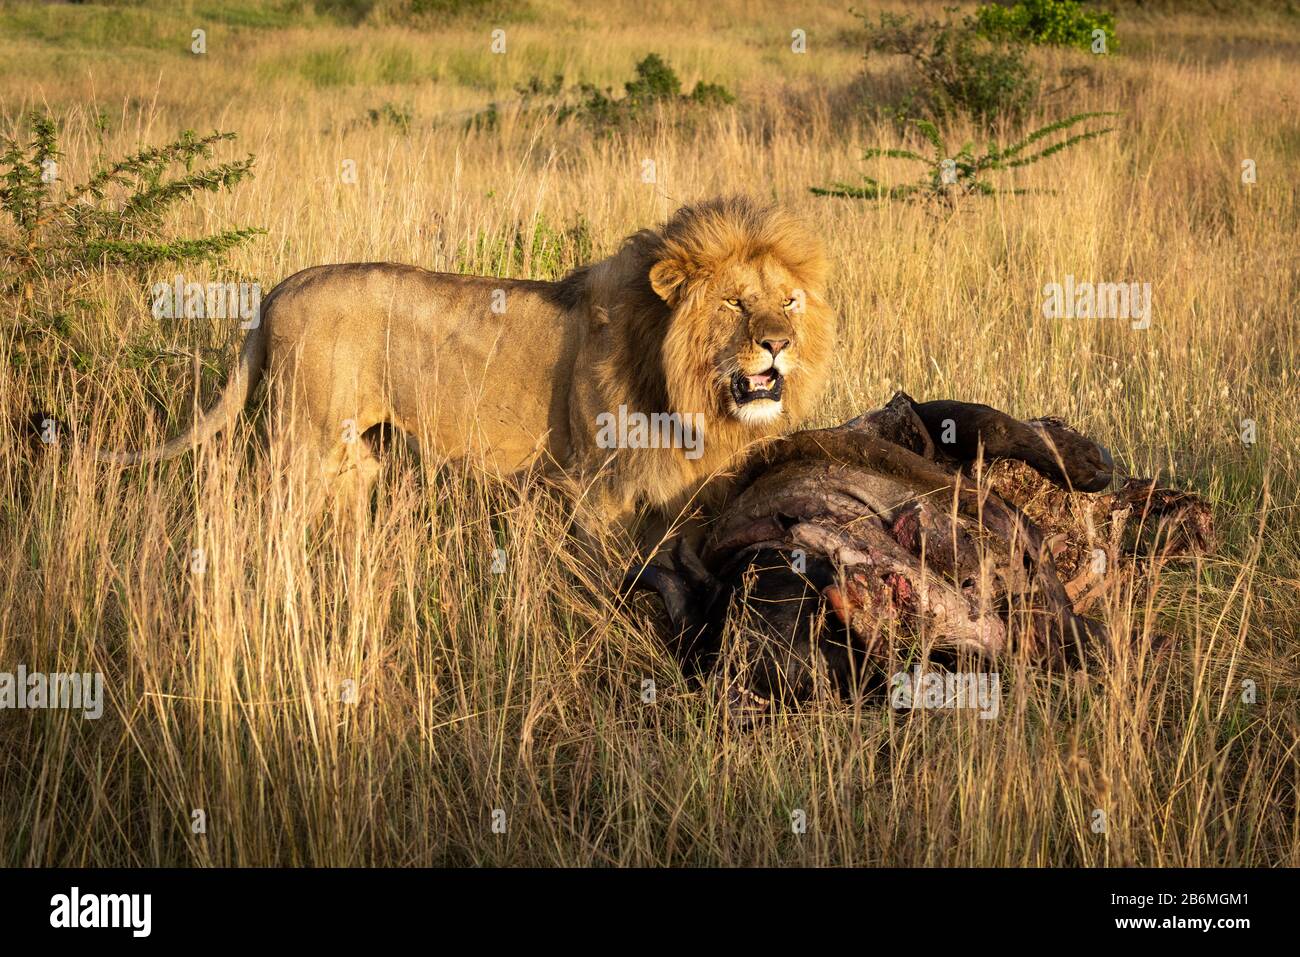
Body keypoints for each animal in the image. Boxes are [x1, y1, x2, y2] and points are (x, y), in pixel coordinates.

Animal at [97, 197, 836, 537]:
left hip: (352, 453)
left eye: (789, 302)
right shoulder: (598, 491)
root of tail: (278, 290)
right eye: (735, 302)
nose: (779, 343)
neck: (684, 388)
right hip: (299, 441)